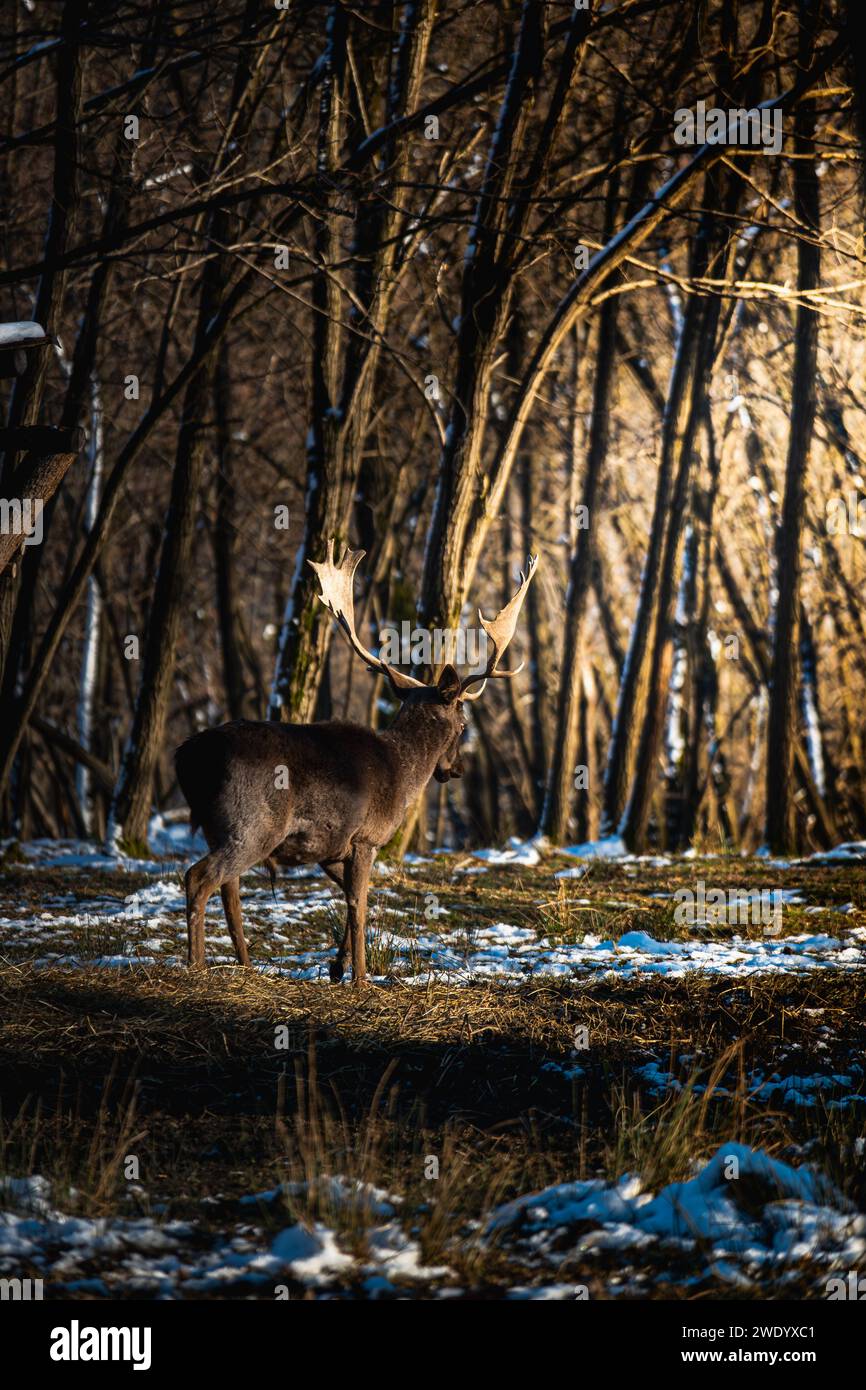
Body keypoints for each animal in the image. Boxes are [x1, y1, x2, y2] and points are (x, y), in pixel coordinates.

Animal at [175, 540, 537, 985]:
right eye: (464, 723)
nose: (455, 770)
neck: (402, 771)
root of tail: (188, 756)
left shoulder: (333, 849)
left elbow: (352, 901)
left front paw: (337, 967)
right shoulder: (367, 837)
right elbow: (360, 908)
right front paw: (362, 979)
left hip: (224, 829)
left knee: (229, 889)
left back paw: (245, 964)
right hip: (252, 823)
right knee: (200, 877)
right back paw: (196, 966)